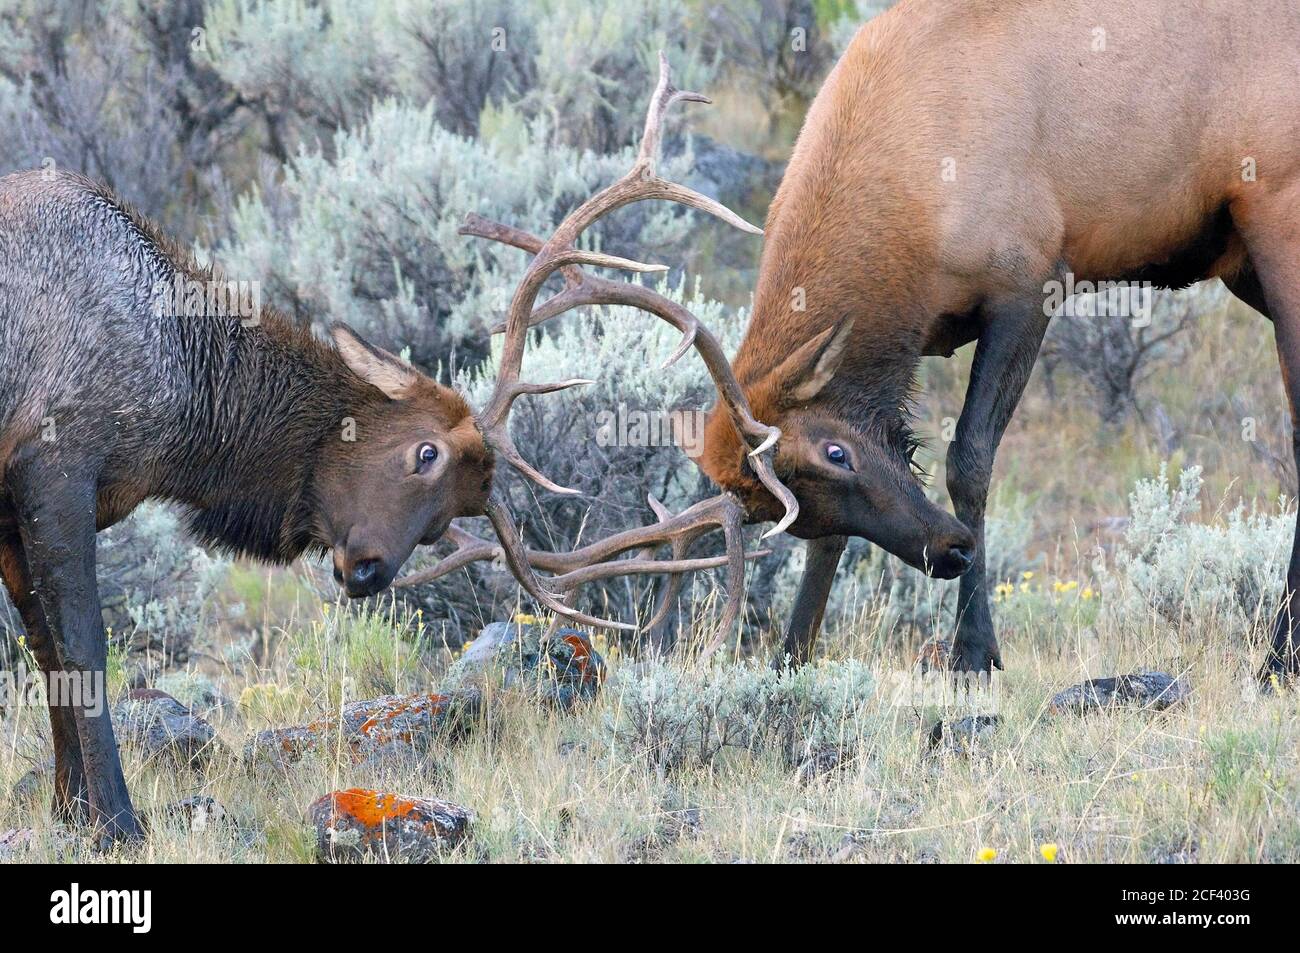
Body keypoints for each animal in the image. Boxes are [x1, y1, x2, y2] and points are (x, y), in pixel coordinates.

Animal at [0, 55, 797, 843]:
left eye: (445, 522)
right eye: (425, 454)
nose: (368, 570)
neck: (179, 396)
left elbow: (44, 649)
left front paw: (70, 808)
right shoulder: (56, 461)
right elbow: (81, 645)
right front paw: (115, 821)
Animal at [696, 0, 1300, 681]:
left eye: (836, 453)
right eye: (789, 511)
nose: (948, 550)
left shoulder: (1029, 286)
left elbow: (970, 461)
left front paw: (975, 650)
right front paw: (791, 657)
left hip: (1278, 223)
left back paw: (1279, 657)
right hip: (1244, 264)